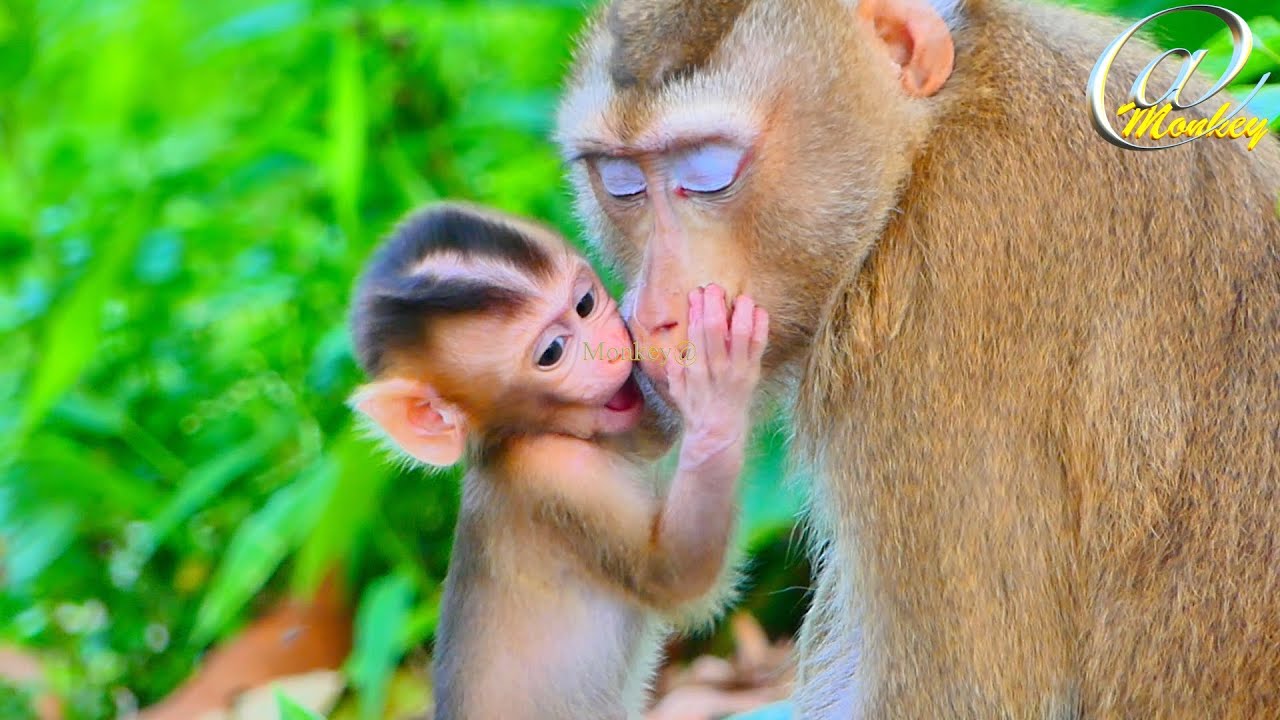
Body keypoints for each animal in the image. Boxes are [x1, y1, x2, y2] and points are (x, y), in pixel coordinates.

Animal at [346, 203, 770, 719]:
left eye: (585, 304)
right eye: (552, 352)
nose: (613, 349)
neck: (519, 438)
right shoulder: (555, 472)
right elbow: (675, 573)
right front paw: (716, 394)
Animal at [555, 0, 1280, 717]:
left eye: (708, 176)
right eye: (621, 184)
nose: (655, 312)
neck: (929, 140)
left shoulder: (954, 283)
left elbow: (965, 695)